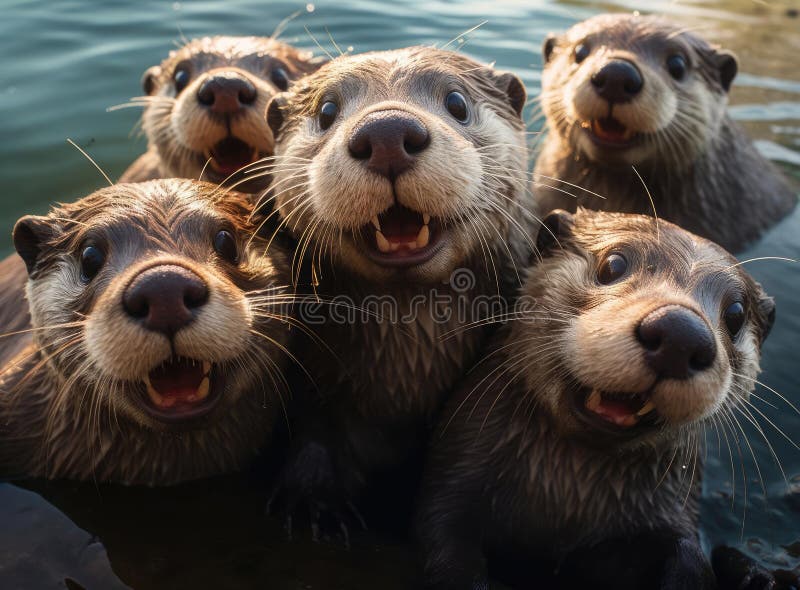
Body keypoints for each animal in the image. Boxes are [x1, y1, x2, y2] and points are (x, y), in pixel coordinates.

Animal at [417, 208, 777, 589]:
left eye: (735, 314)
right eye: (613, 265)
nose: (681, 335)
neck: (560, 509)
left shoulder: (672, 510)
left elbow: (688, 553)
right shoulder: (453, 474)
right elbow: (443, 534)